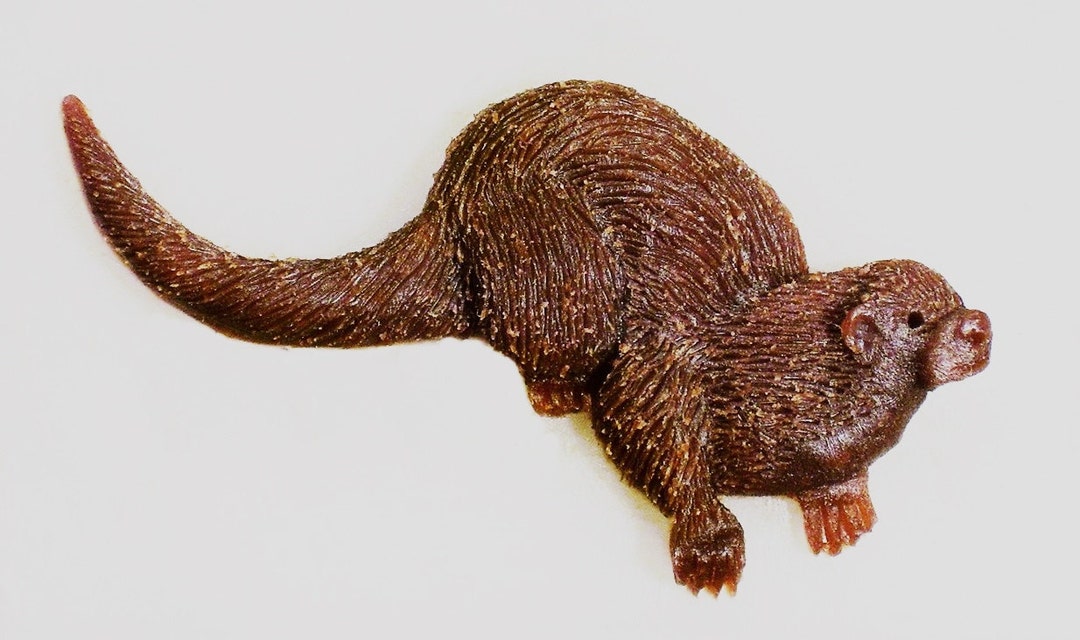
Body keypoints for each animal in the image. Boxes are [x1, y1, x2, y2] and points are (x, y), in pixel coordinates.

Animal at [62, 80, 991, 595]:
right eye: (918, 318)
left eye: (954, 297)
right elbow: (647, 420)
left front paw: (841, 507)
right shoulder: (676, 362)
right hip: (562, 274)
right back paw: (556, 391)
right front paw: (710, 547)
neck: (780, 369)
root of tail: (450, 204)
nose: (978, 325)